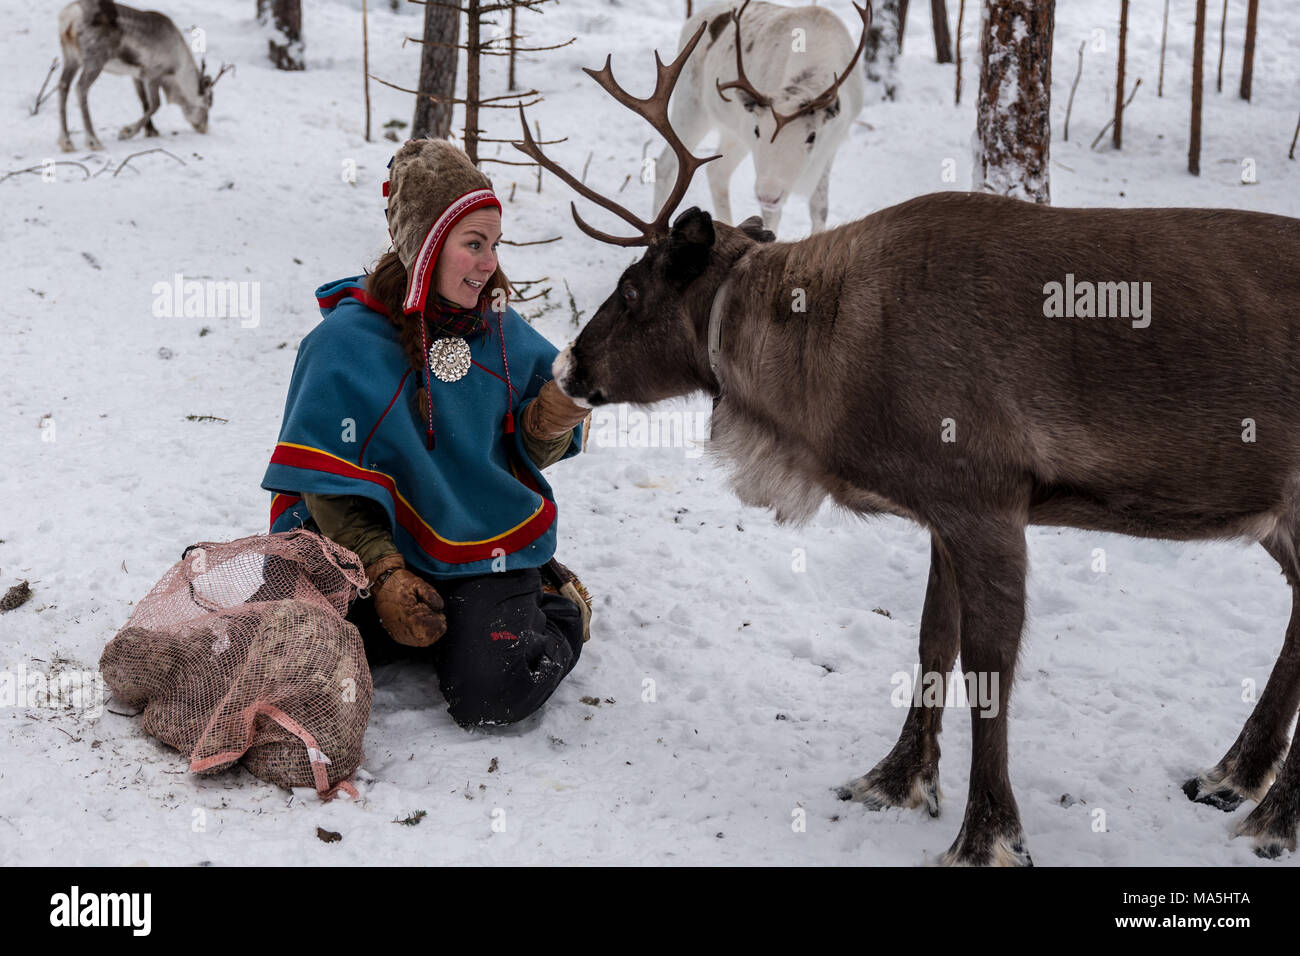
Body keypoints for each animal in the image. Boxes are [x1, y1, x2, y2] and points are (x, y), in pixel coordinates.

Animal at [56, 0, 230, 153]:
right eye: (207, 102)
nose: (204, 128)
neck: (178, 70)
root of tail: (70, 15)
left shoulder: (137, 76)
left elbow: (144, 101)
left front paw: (151, 131)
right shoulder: (153, 74)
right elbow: (155, 104)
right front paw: (127, 132)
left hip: (70, 56)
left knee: (63, 85)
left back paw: (66, 142)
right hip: (95, 60)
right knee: (81, 88)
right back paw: (93, 141)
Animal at [653, 0, 869, 237]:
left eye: (812, 136)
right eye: (758, 131)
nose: (769, 196)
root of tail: (693, 19)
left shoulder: (830, 146)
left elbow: (819, 209)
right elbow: (771, 220)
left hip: (734, 133)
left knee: (717, 171)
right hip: (691, 105)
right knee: (665, 166)